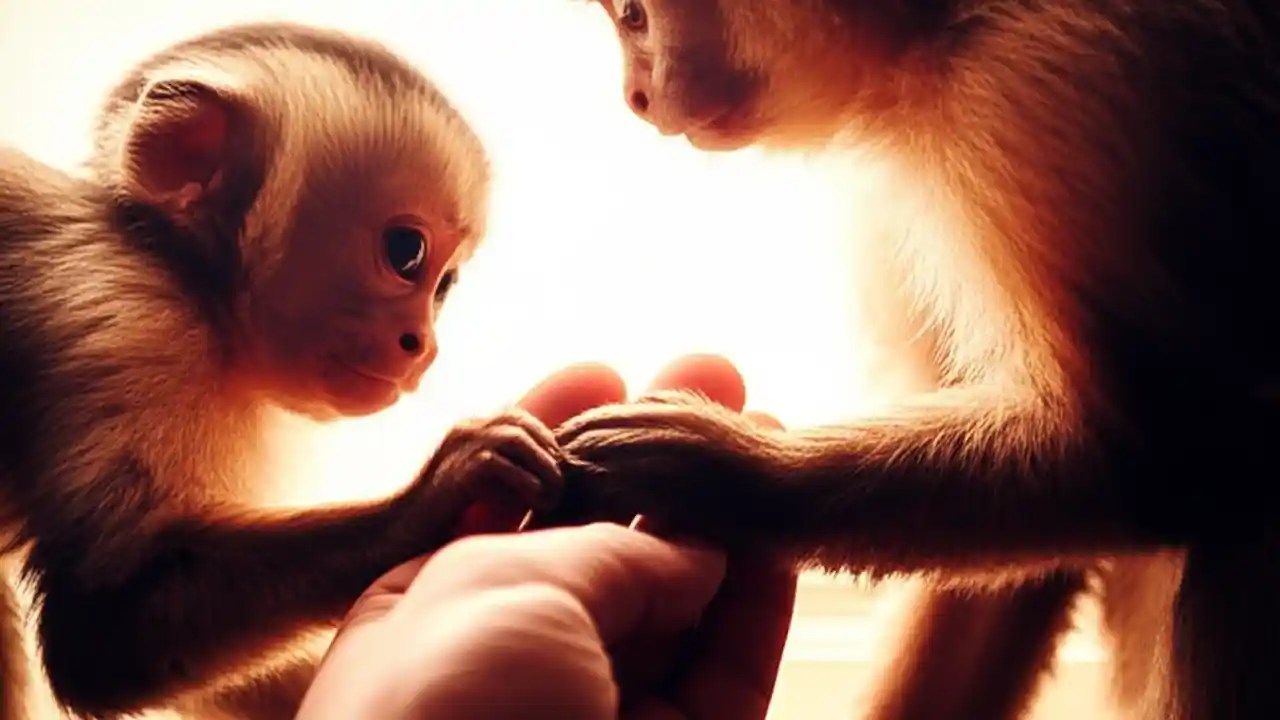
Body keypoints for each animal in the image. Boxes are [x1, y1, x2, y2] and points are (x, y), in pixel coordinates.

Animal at [0, 22, 564, 720]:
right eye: (406, 253)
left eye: (443, 287)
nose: (423, 348)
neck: (184, 281)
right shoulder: (126, 324)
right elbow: (97, 630)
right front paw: (435, 496)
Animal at [550, 2, 1280, 719]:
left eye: (635, 19)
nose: (636, 98)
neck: (939, 27)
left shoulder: (1048, 87)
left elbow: (1161, 452)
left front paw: (731, 476)